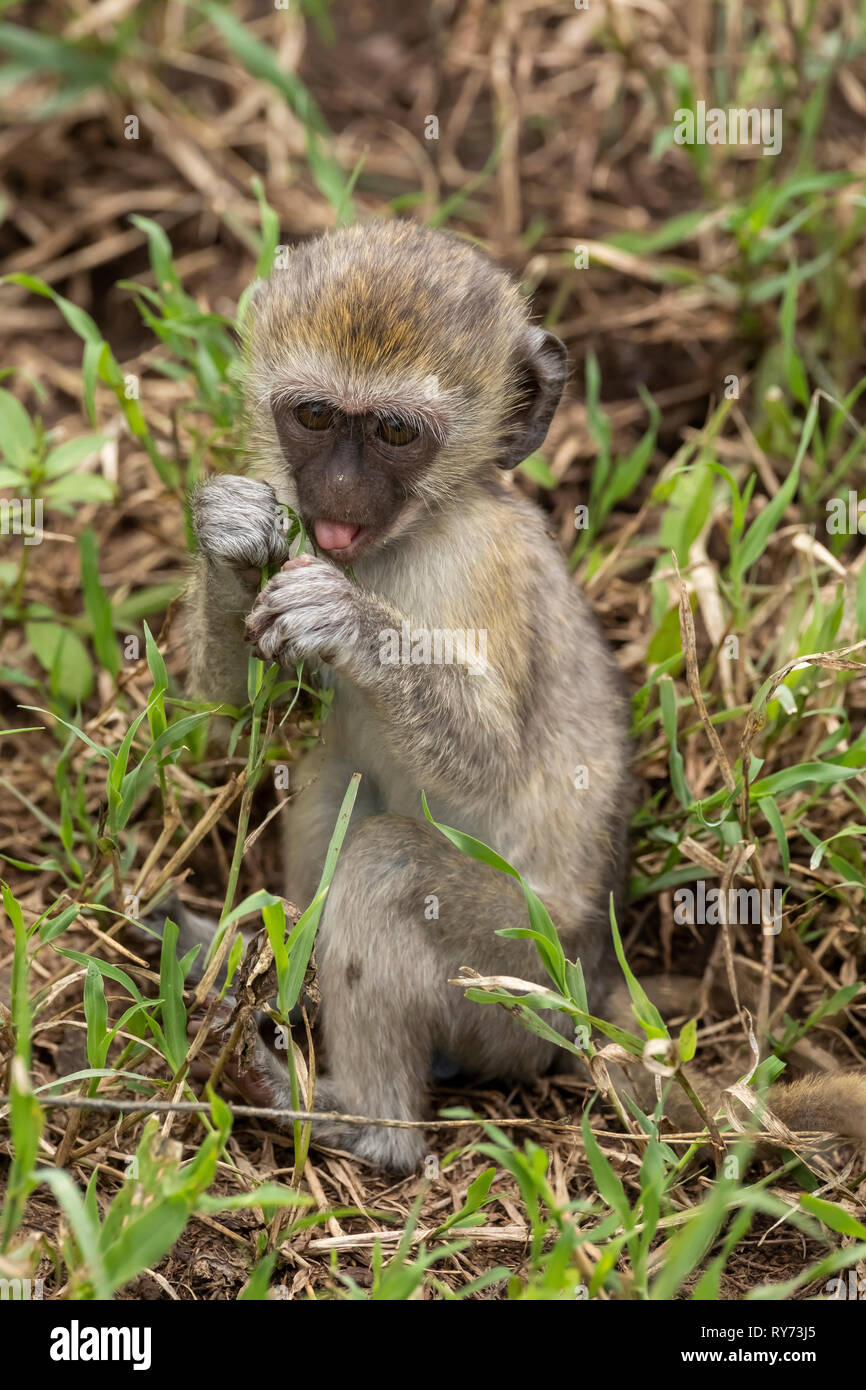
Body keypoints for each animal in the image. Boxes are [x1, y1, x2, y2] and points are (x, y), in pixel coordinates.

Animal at [182, 218, 866, 1171]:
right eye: (313, 416)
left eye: (395, 433)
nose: (338, 496)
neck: (403, 540)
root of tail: (596, 970)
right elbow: (228, 720)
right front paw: (232, 533)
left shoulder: (483, 564)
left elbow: (490, 766)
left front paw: (347, 621)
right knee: (330, 772)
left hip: (518, 981)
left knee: (391, 867)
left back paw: (361, 1122)